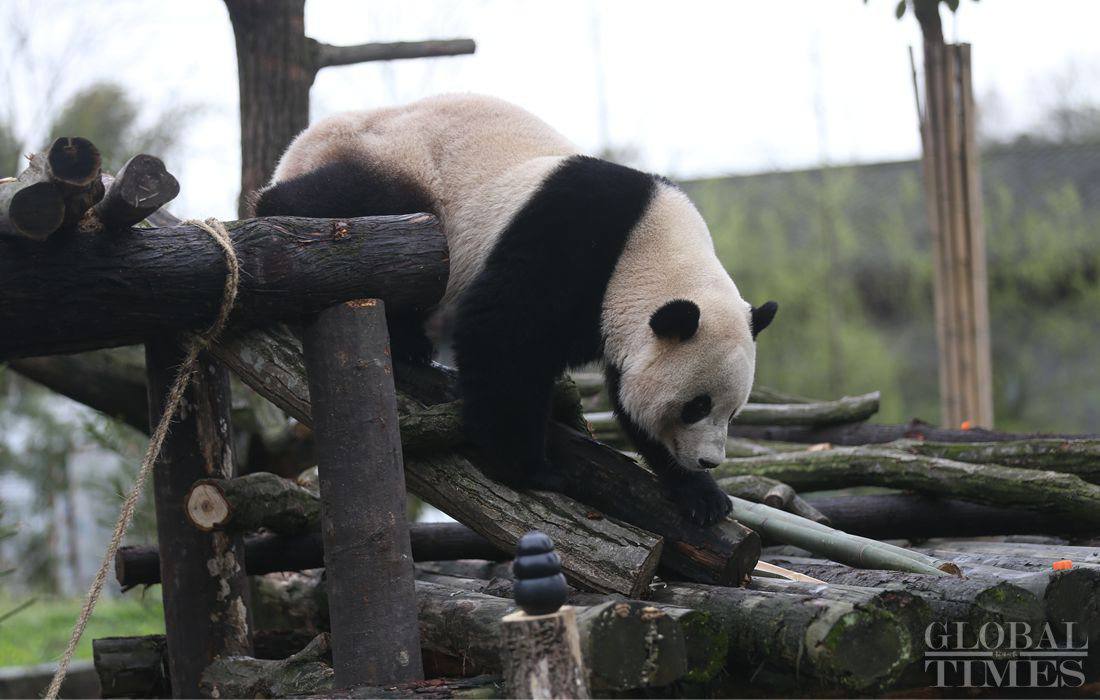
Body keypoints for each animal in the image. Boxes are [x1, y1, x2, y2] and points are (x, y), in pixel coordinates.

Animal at [255, 94, 777, 526]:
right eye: (697, 406)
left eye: (733, 412)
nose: (710, 460)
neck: (650, 248)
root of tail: (298, 147)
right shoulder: (571, 240)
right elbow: (503, 334)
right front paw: (531, 469)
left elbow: (627, 396)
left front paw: (700, 493)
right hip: (394, 165)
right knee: (355, 209)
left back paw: (409, 345)